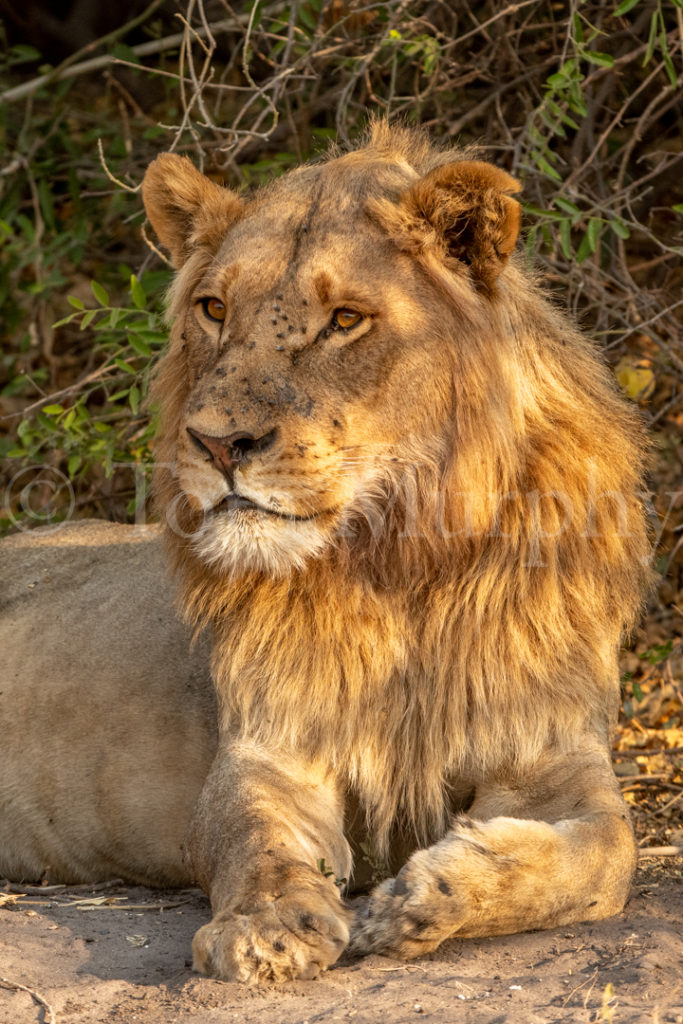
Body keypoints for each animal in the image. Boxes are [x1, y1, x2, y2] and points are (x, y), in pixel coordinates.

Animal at [0, 122, 651, 985]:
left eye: (344, 320)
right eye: (213, 308)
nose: (215, 443)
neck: (400, 562)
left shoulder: (550, 752)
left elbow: (607, 854)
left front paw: (424, 899)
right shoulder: (268, 750)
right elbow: (254, 843)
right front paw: (267, 928)